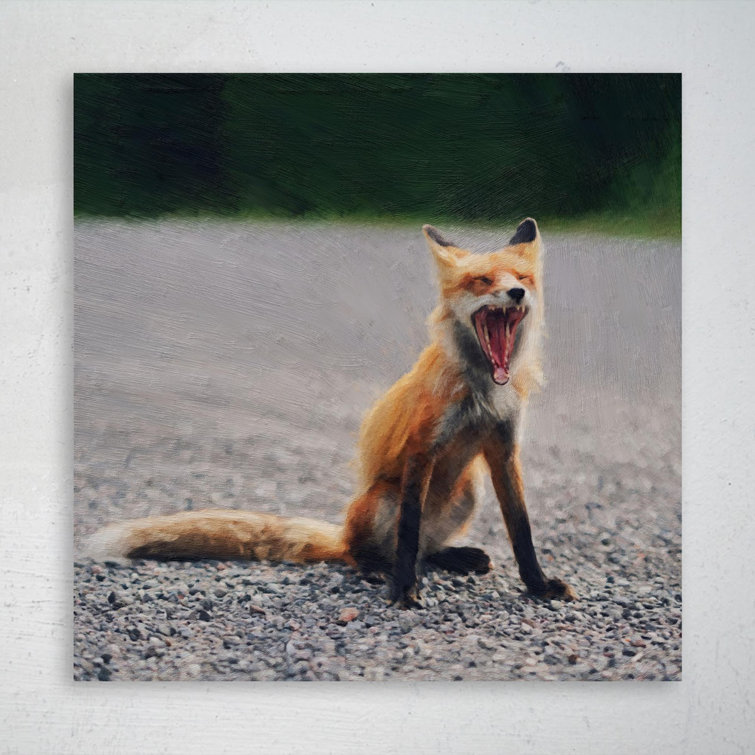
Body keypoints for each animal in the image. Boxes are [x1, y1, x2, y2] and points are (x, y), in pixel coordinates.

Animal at [88, 218, 575, 607]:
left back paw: (452, 556)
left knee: (425, 547)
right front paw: (403, 590)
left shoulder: (503, 450)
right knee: (379, 549)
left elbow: (521, 530)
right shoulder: (421, 450)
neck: (481, 392)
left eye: (523, 277)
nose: (515, 292)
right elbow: (408, 533)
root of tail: (342, 531)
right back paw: (376, 567)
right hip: (385, 500)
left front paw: (538, 586)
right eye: (483, 280)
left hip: (468, 490)